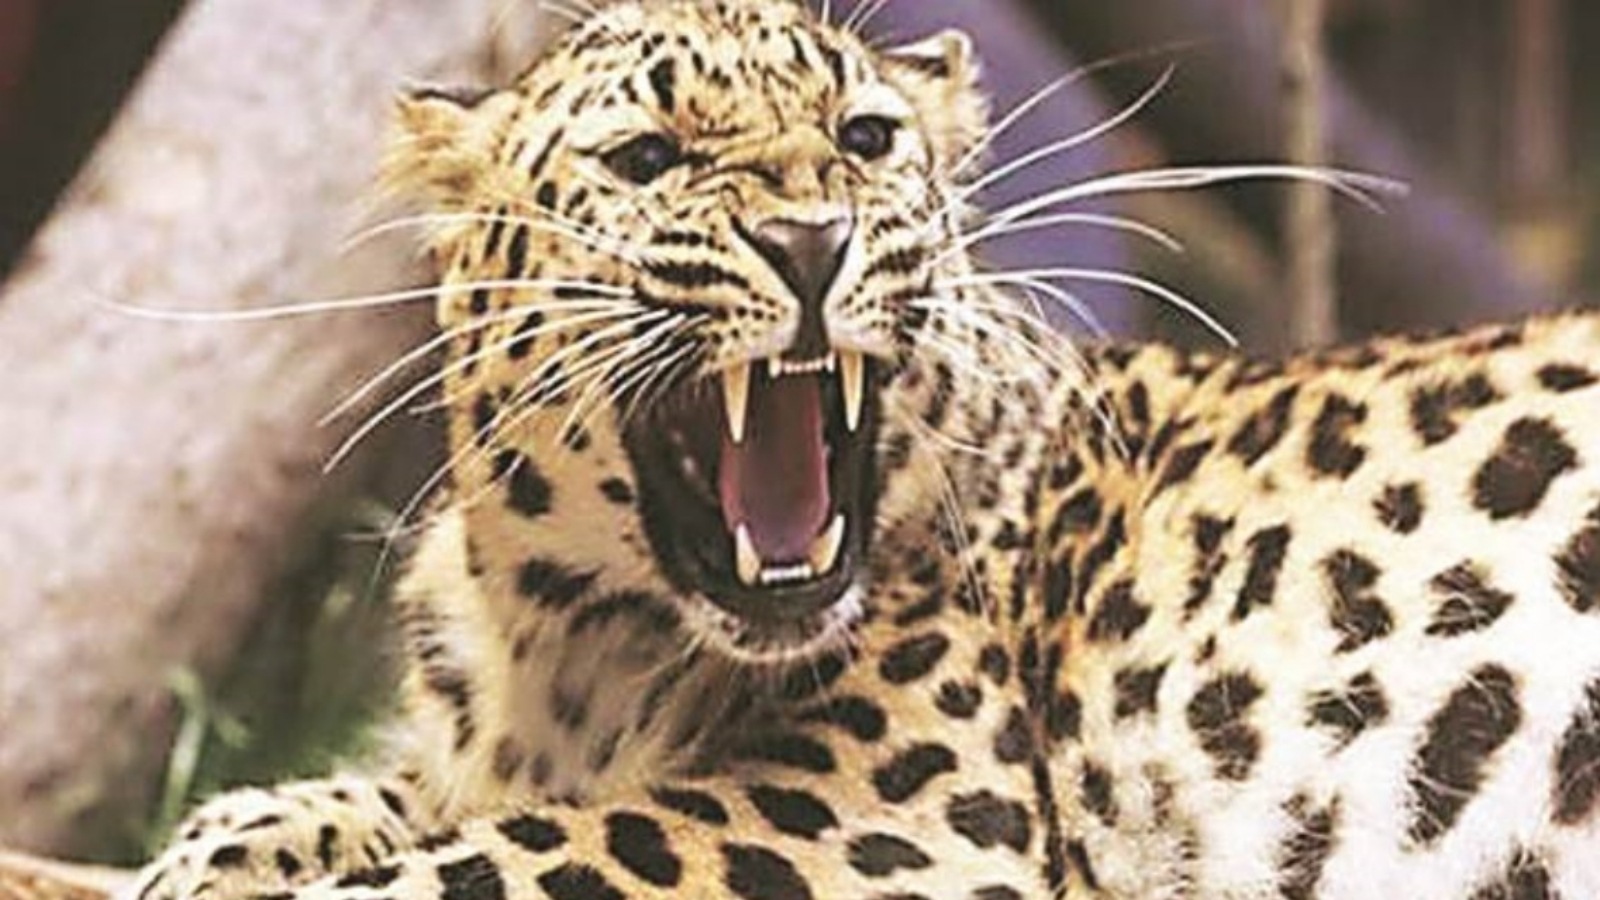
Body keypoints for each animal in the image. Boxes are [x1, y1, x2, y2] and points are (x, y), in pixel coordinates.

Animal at [122, 1, 1600, 898]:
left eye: (865, 138)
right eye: (648, 158)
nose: (811, 239)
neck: (566, 655)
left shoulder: (899, 810)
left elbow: (513, 854)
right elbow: (380, 801)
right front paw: (230, 836)